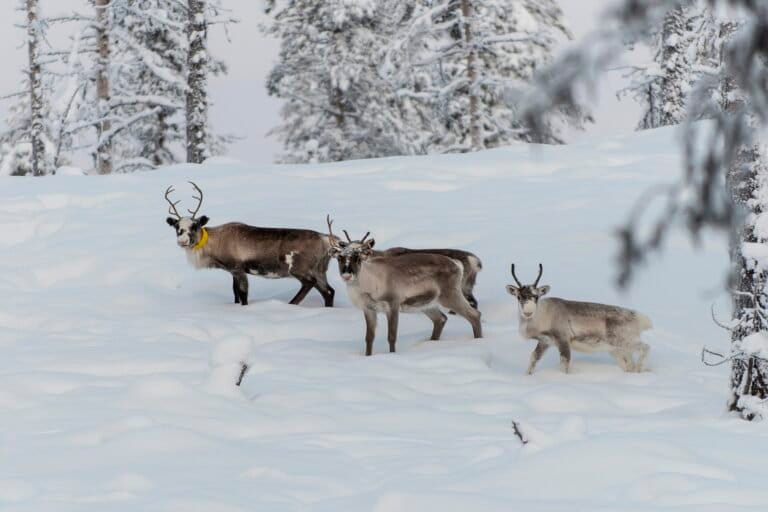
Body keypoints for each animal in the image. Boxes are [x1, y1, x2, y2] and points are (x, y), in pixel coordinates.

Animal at [165, 182, 335, 307]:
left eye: (194, 225)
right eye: (177, 227)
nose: (182, 241)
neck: (214, 243)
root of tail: (325, 239)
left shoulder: (238, 268)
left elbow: (243, 295)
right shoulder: (232, 272)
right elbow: (235, 293)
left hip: (300, 269)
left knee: (311, 284)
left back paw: (291, 304)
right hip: (320, 270)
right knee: (329, 292)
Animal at [326, 216, 482, 356]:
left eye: (358, 257)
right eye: (339, 257)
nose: (347, 274)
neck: (368, 286)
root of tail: (457, 264)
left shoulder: (393, 304)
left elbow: (391, 336)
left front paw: (392, 355)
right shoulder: (369, 309)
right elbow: (369, 338)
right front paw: (368, 356)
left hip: (450, 294)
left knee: (474, 314)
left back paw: (478, 341)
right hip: (427, 304)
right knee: (441, 319)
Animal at [506, 264, 652, 374]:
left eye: (536, 296)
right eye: (518, 297)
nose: (528, 312)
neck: (542, 315)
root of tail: (639, 318)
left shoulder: (563, 340)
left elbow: (564, 363)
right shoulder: (545, 342)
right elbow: (533, 358)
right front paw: (527, 375)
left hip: (624, 341)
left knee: (645, 347)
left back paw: (640, 370)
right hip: (617, 349)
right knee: (628, 364)